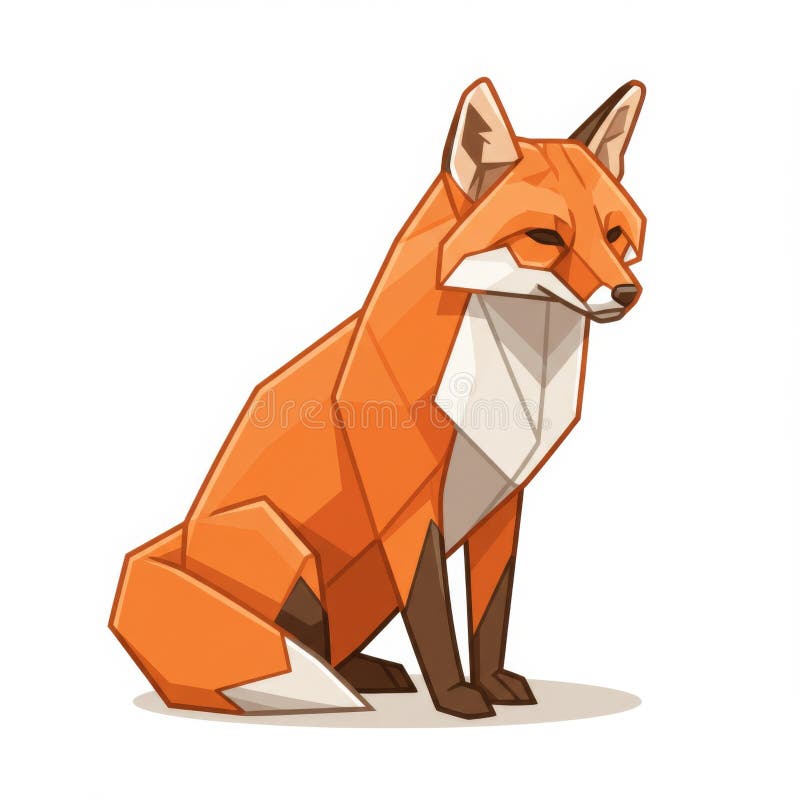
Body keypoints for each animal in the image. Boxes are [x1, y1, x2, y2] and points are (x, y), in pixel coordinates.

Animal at [110, 78, 646, 719]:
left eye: (614, 235)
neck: (518, 382)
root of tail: (178, 539)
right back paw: (347, 689)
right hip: (285, 543)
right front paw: (457, 698)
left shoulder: (503, 502)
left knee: (335, 648)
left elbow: (491, 614)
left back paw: (368, 674)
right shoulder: (407, 510)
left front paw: (494, 684)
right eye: (544, 236)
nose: (627, 291)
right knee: (305, 644)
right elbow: (434, 616)